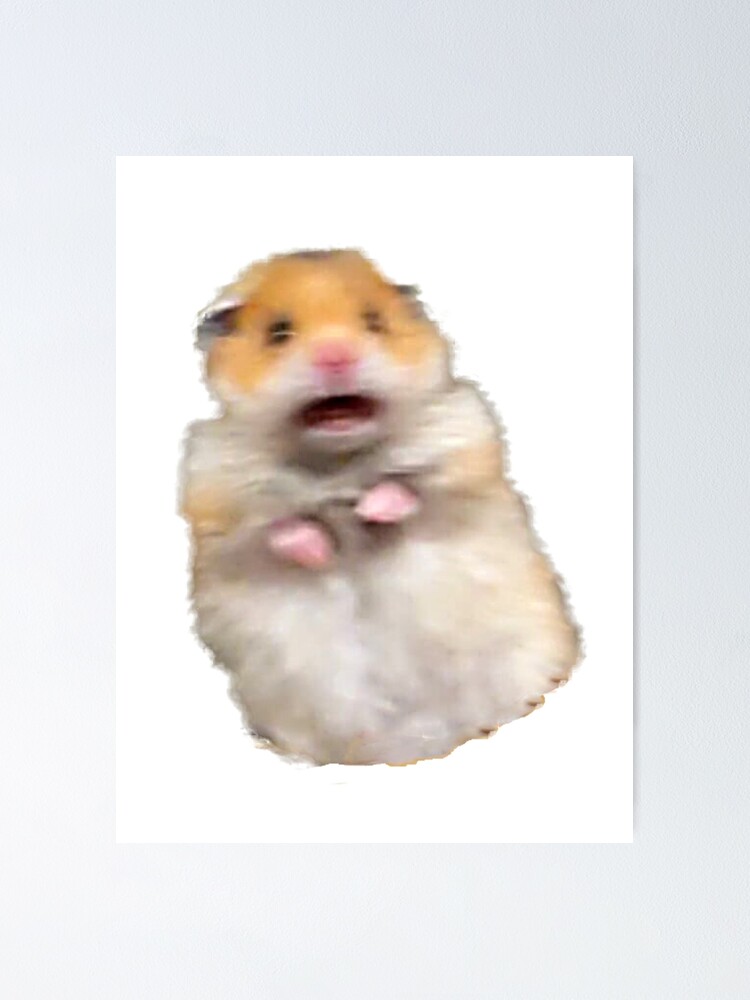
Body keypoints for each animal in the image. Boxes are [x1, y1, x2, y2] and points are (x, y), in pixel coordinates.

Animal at [179, 248, 582, 766]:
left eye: (374, 322)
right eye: (278, 333)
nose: (337, 356)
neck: (338, 459)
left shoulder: (466, 446)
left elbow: (410, 490)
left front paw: (369, 512)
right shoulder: (215, 497)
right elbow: (280, 528)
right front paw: (322, 550)